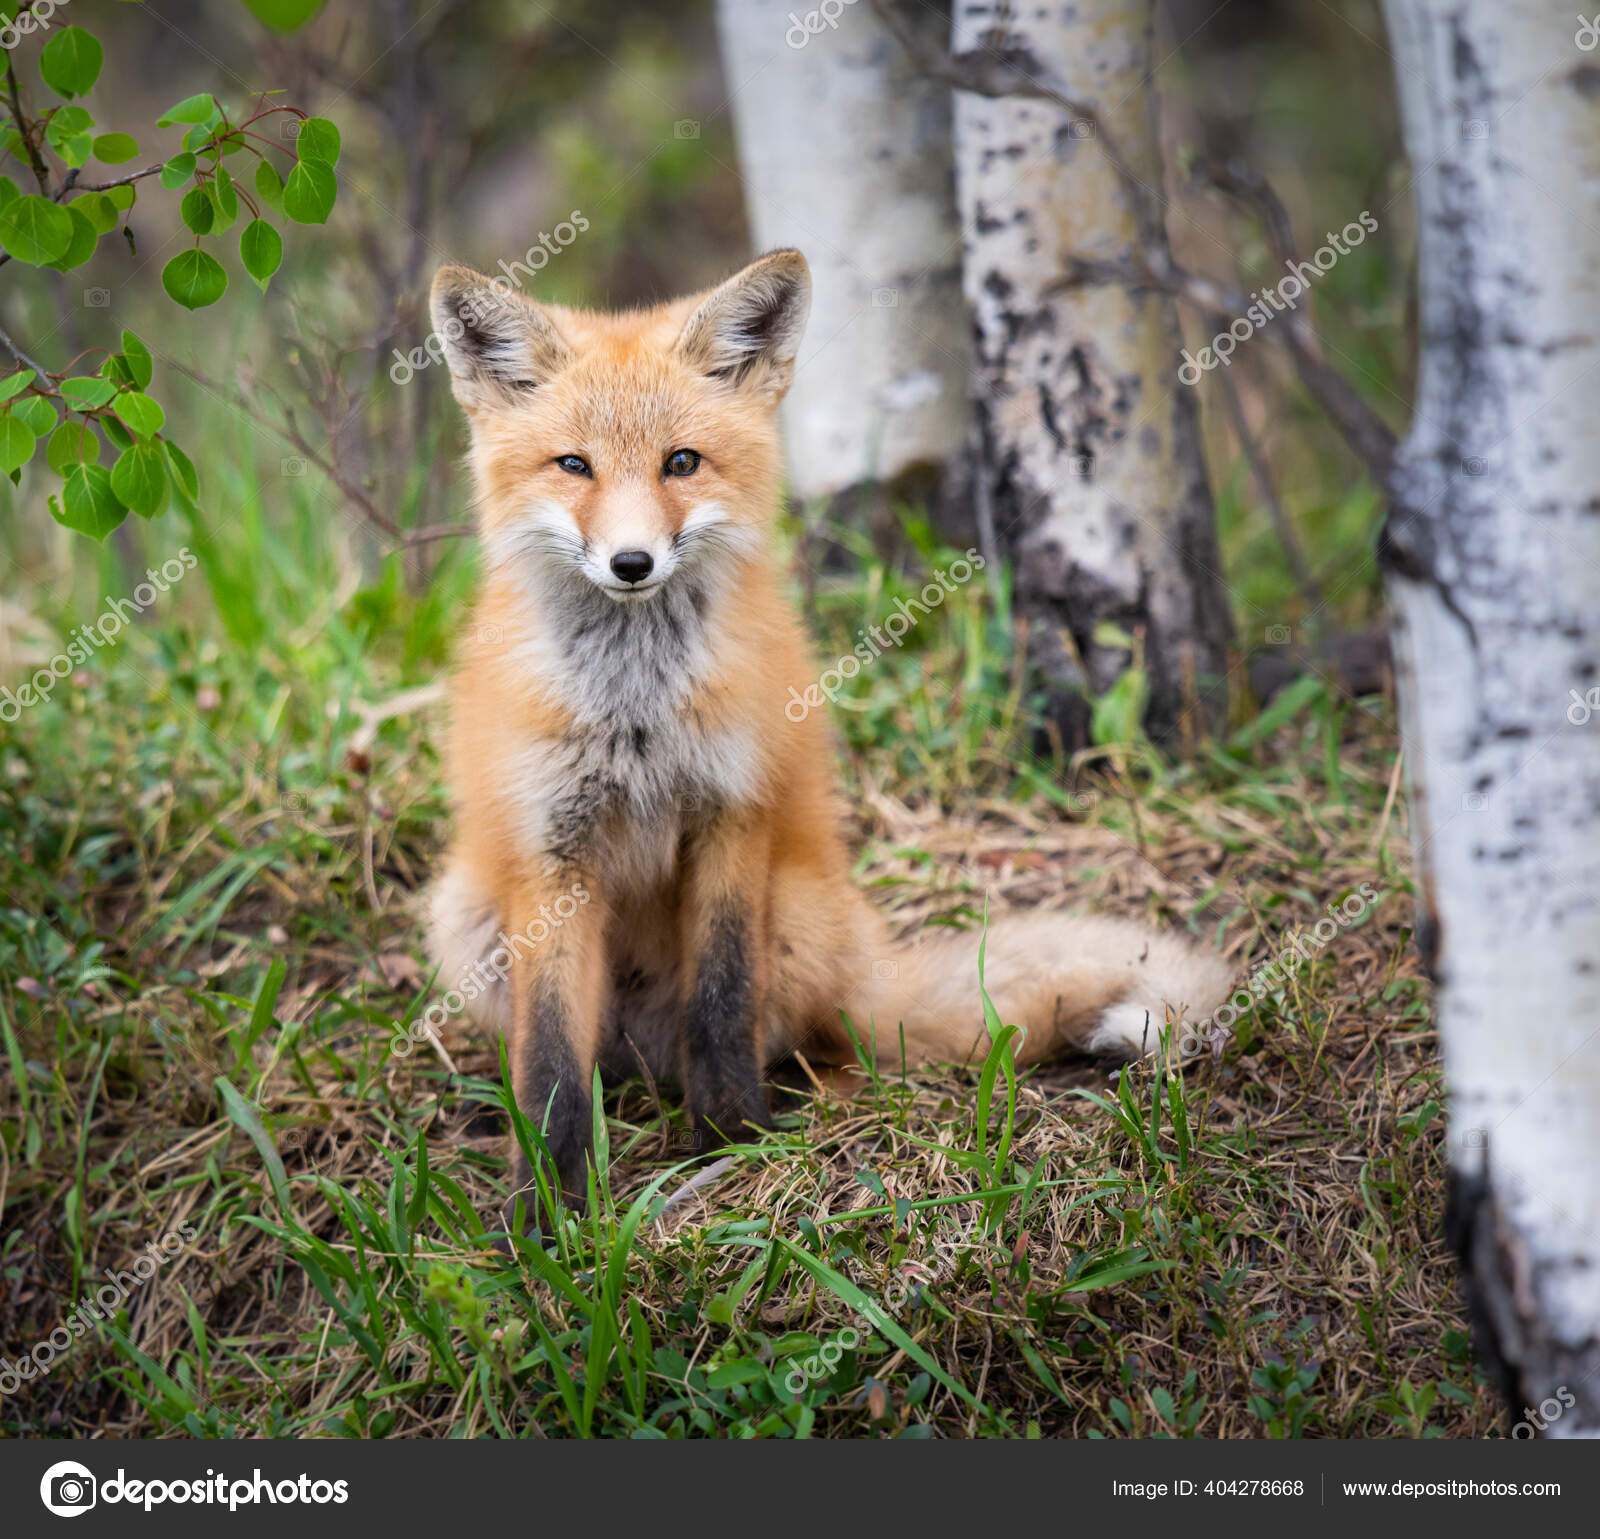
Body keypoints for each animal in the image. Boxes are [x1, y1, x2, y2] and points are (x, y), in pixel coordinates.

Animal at [424, 248, 1233, 1228]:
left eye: (681, 462)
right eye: (573, 465)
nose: (631, 563)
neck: (635, 708)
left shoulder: (732, 813)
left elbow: (722, 1002)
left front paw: (732, 1142)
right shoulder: (550, 854)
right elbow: (547, 1060)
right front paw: (544, 1209)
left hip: (800, 916)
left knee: (828, 1039)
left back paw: (808, 1100)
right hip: (464, 916)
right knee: (603, 1059)